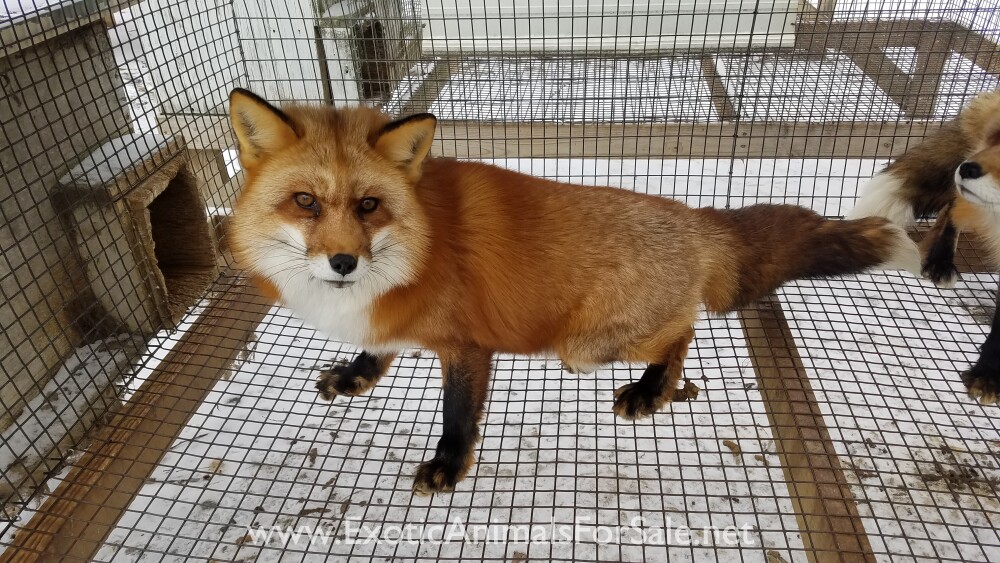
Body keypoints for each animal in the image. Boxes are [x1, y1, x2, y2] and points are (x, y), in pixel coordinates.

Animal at [228, 88, 920, 494]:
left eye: (369, 205)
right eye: (306, 202)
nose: (344, 262)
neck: (416, 246)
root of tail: (699, 219)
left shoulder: (467, 346)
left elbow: (457, 417)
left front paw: (449, 467)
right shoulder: (392, 323)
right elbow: (378, 349)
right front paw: (358, 374)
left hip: (584, 347)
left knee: (685, 329)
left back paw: (656, 389)